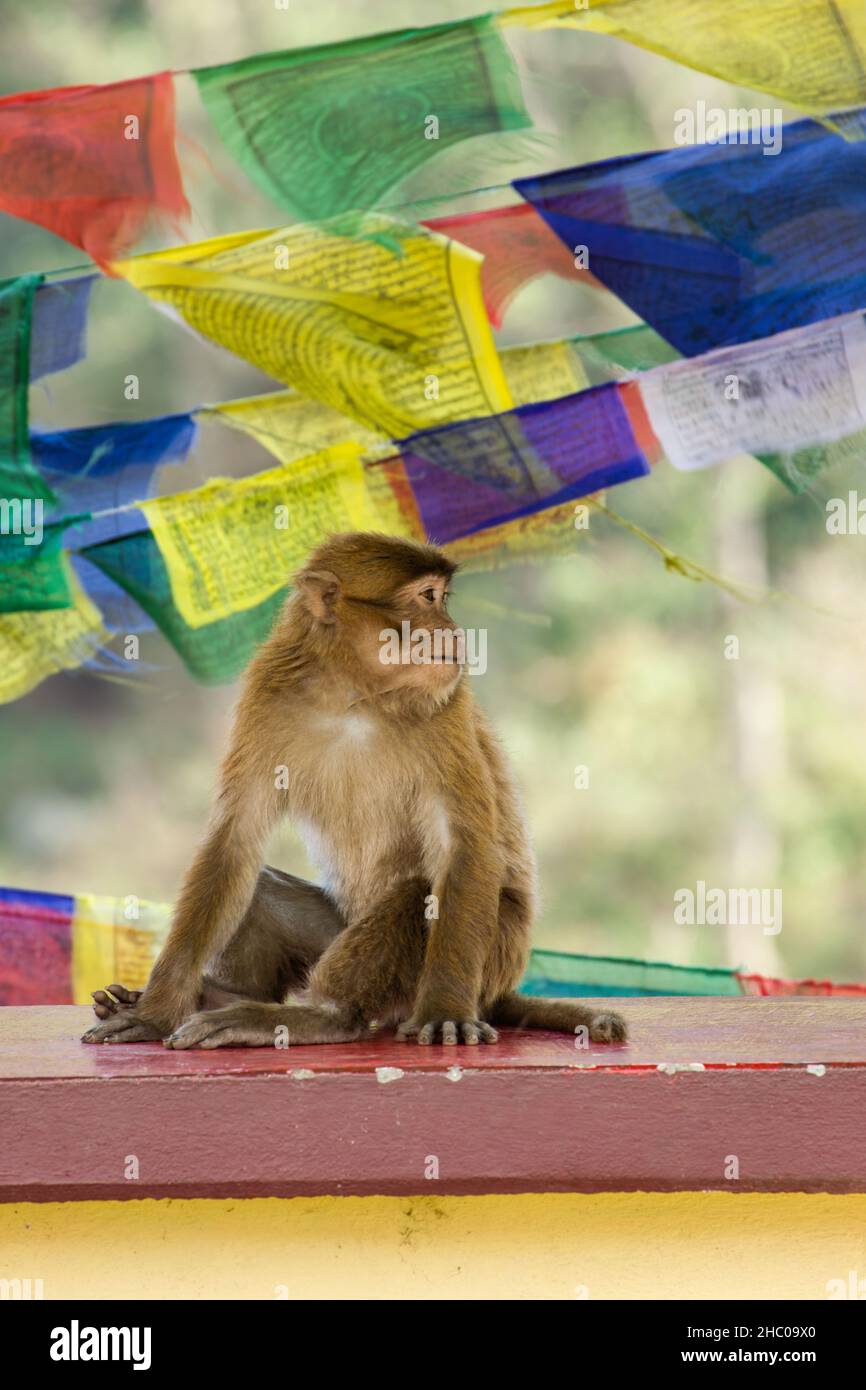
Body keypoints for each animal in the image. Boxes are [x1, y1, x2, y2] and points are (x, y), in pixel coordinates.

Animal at [82, 532, 627, 1050]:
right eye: (428, 597)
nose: (454, 631)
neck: (353, 694)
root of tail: (496, 990)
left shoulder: (449, 703)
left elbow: (463, 847)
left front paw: (445, 1012)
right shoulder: (266, 693)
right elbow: (234, 840)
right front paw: (155, 1014)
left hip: (496, 946)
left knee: (416, 894)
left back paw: (322, 1016)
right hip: (343, 923)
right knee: (257, 884)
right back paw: (223, 997)